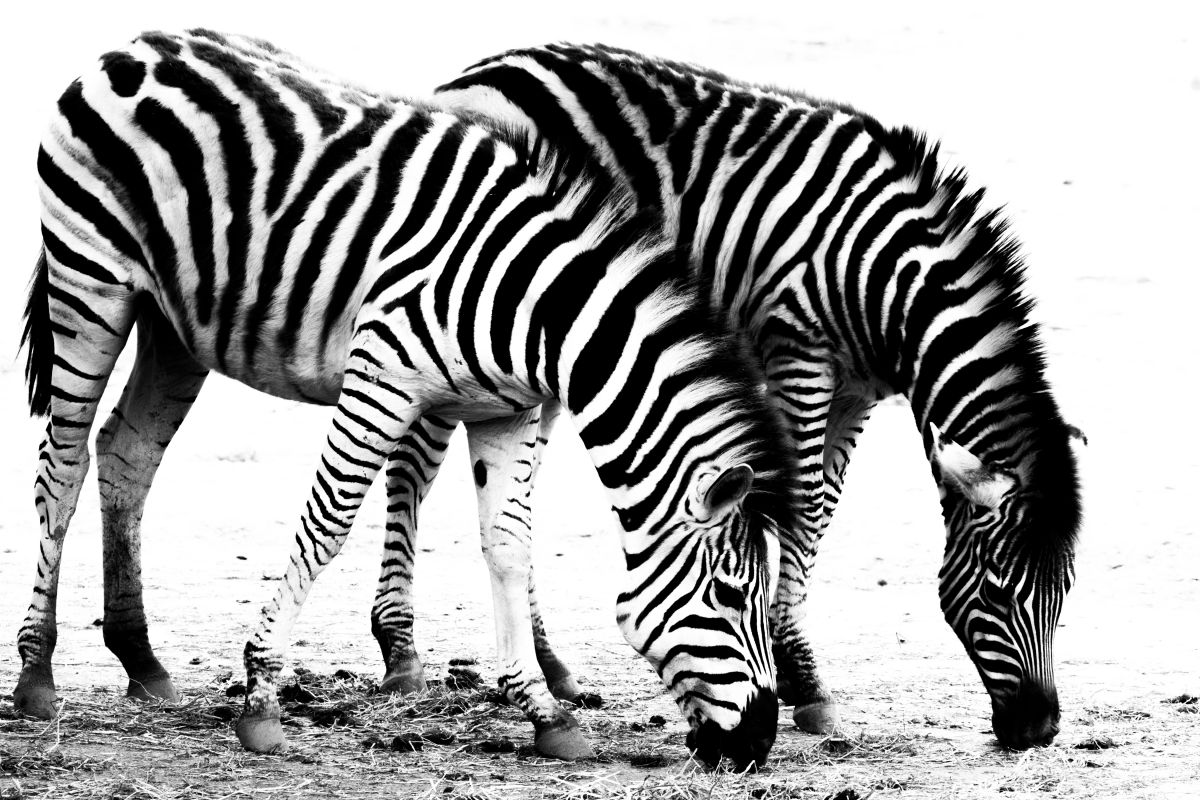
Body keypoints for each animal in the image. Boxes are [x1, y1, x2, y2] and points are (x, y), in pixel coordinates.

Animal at [15, 30, 798, 768]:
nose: (757, 746)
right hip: (90, 283)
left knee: (126, 455)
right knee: (62, 468)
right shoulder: (381, 377)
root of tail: (137, 44)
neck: (538, 309)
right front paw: (261, 697)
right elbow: (327, 528)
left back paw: (142, 661)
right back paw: (36, 675)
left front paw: (546, 713)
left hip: (175, 323)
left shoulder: (507, 411)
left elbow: (509, 546)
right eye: (733, 598)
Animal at [355, 42, 1082, 750]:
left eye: (1065, 590)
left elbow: (823, 512)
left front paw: (798, 672)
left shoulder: (856, 390)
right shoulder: (798, 355)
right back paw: (401, 653)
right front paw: (805, 682)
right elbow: (805, 509)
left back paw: (551, 667)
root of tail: (478, 73)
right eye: (998, 589)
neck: (886, 275)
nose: (1040, 729)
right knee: (414, 464)